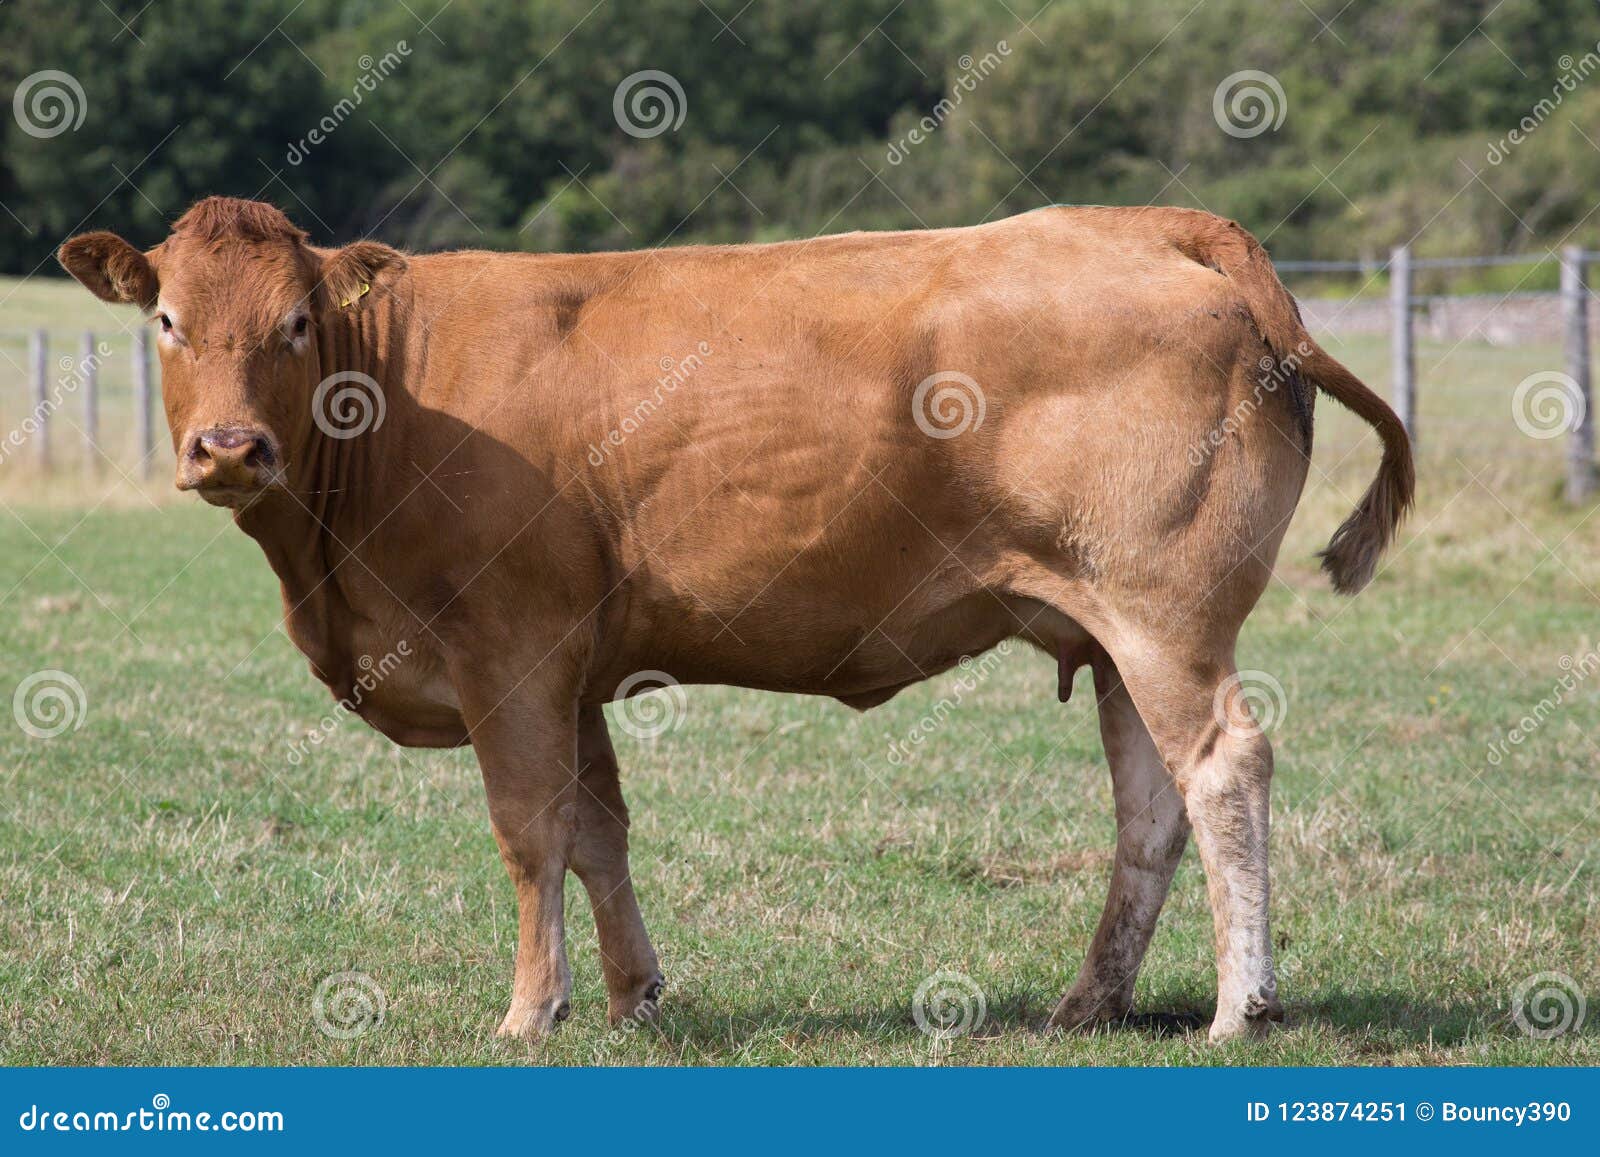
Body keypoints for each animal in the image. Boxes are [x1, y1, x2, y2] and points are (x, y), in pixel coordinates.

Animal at [58, 197, 1412, 1045]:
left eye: (293, 323)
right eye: (168, 320)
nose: (229, 446)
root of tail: (1152, 226)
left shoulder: (510, 648)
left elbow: (529, 832)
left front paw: (530, 1009)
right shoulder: (576, 666)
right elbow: (598, 833)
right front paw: (632, 997)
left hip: (1162, 612)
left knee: (1223, 767)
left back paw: (1243, 1008)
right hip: (1115, 627)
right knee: (1151, 805)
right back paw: (1089, 1002)